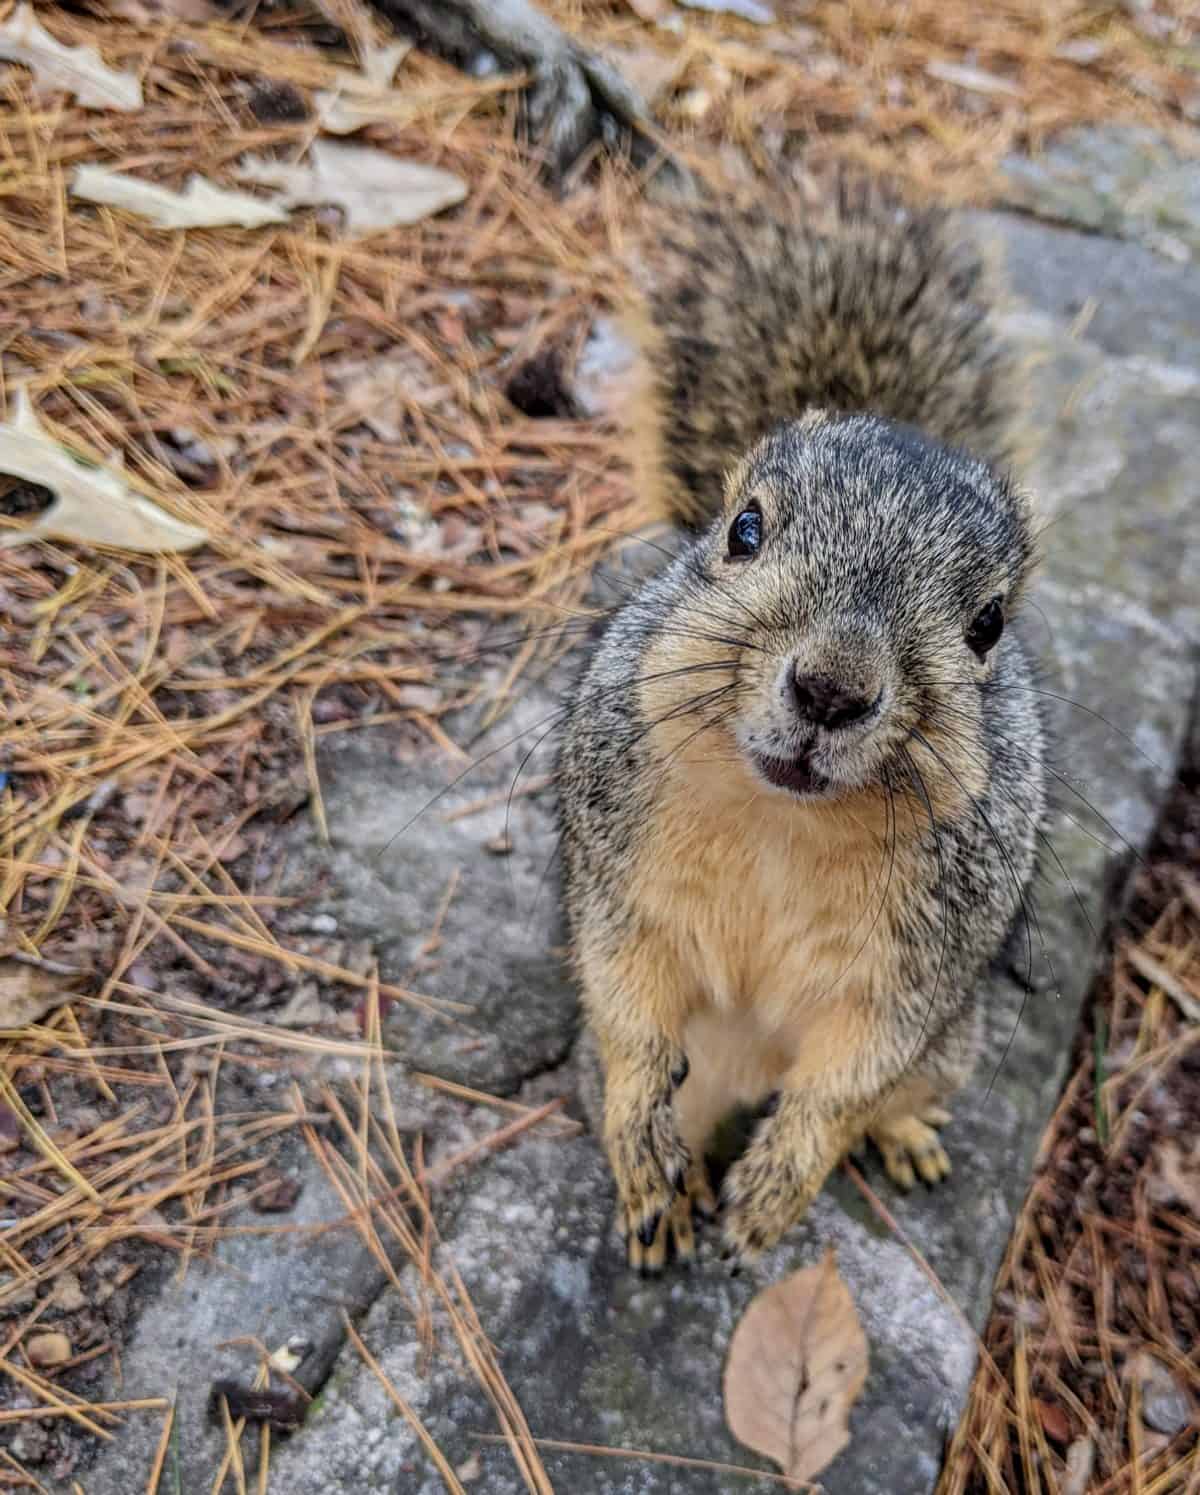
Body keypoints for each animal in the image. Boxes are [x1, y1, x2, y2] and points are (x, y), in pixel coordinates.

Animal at [557, 172, 1048, 1274]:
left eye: (990, 624)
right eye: (743, 529)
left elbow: (845, 1080)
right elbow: (627, 1001)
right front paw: (641, 1139)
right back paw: (663, 1191)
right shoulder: (623, 891)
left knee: (885, 1096)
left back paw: (898, 1138)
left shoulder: (910, 977)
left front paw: (775, 1190)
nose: (831, 690)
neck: (785, 820)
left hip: (952, 1048)